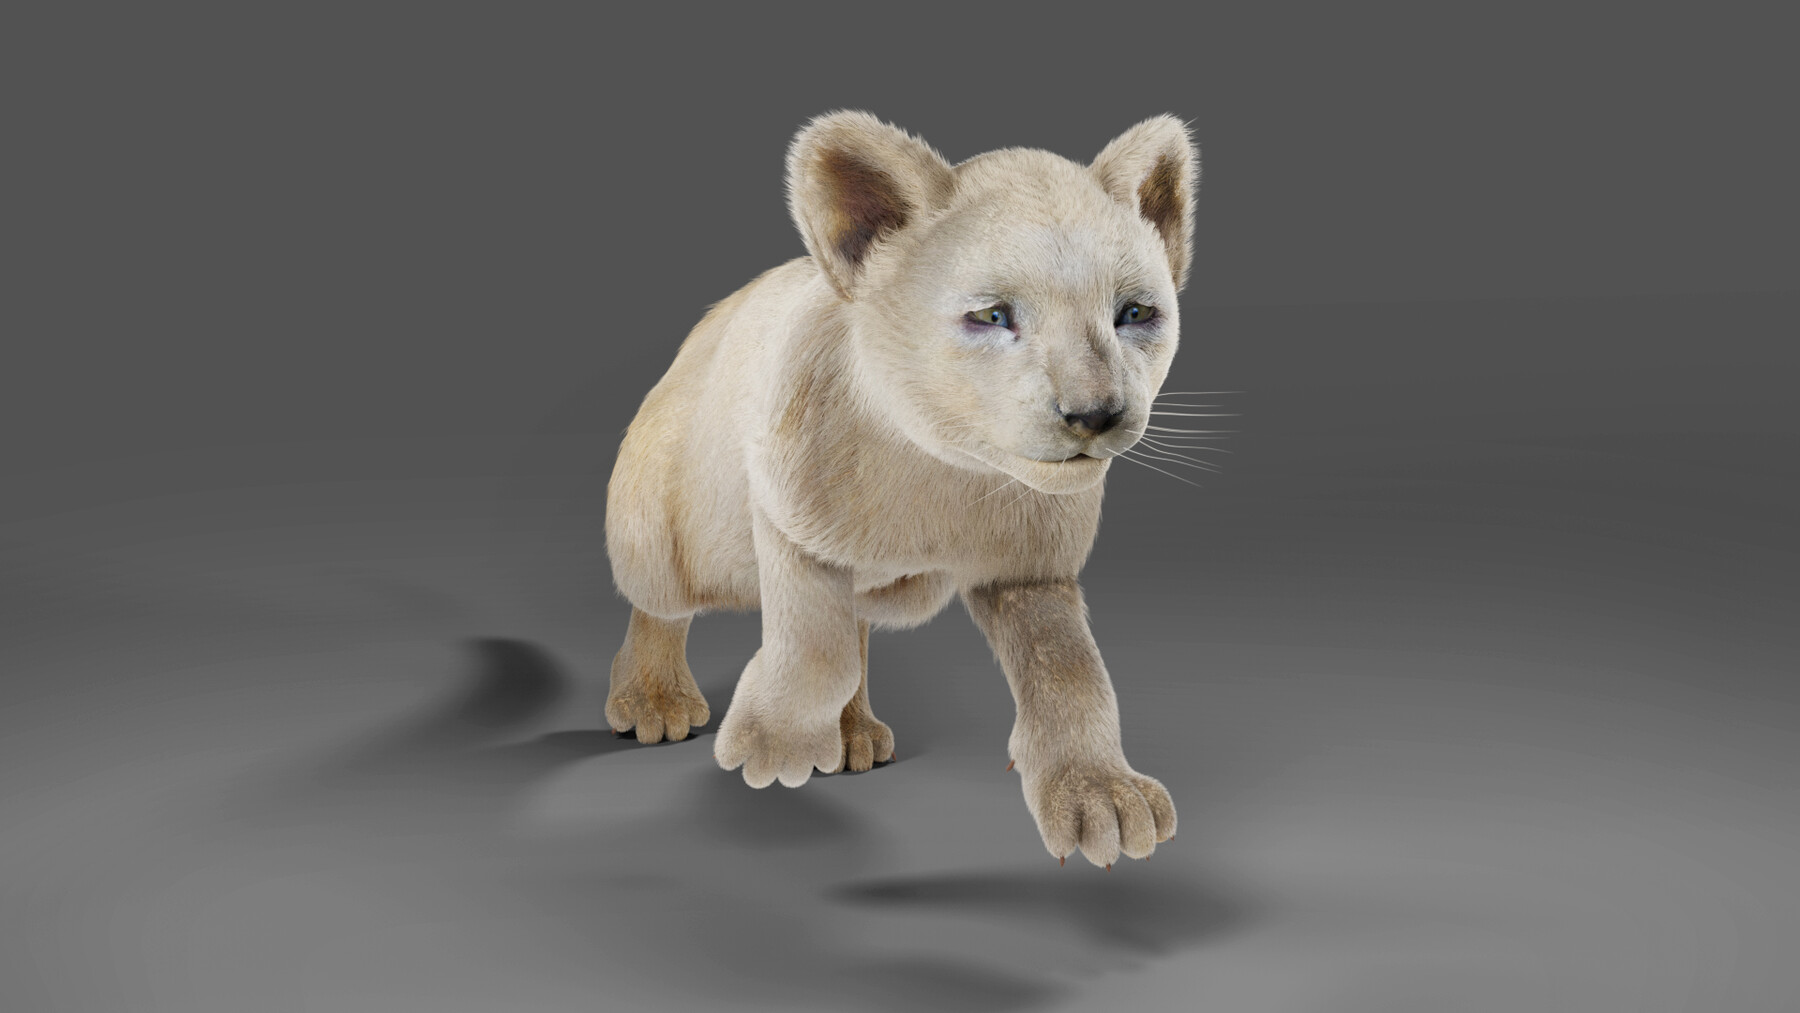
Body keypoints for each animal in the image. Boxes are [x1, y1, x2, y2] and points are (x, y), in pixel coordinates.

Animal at [604, 111, 1198, 868]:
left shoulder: (1029, 572)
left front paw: (1103, 798)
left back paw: (855, 736)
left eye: (1133, 313)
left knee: (857, 625)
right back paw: (657, 705)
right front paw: (771, 747)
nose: (1095, 413)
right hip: (663, 525)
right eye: (993, 316)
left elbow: (1072, 674)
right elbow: (814, 647)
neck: (944, 470)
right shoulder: (791, 521)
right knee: (661, 607)